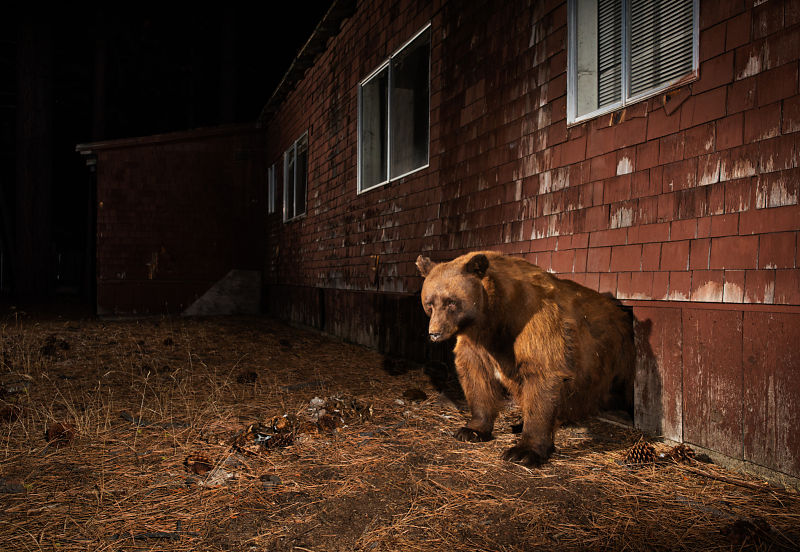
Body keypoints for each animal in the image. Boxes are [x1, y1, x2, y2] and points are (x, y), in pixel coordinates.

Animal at [416, 250, 635, 466]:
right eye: (429, 303)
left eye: (451, 302)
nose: (434, 333)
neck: (493, 318)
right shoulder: (477, 344)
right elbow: (477, 377)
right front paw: (471, 430)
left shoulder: (533, 323)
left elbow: (542, 375)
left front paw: (523, 451)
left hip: (616, 355)